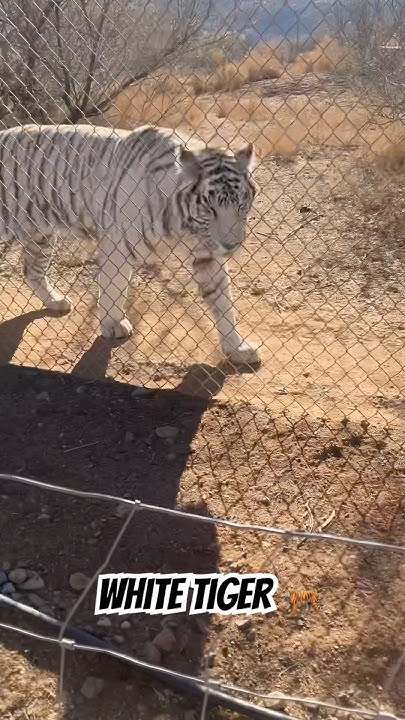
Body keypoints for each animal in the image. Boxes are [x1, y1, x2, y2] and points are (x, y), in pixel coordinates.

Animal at [0, 123, 260, 365]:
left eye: (241, 205)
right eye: (210, 209)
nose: (231, 245)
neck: (184, 225)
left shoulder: (206, 253)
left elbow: (222, 301)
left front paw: (237, 348)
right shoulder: (117, 244)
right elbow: (113, 286)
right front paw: (113, 325)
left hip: (40, 235)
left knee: (32, 271)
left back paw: (55, 301)